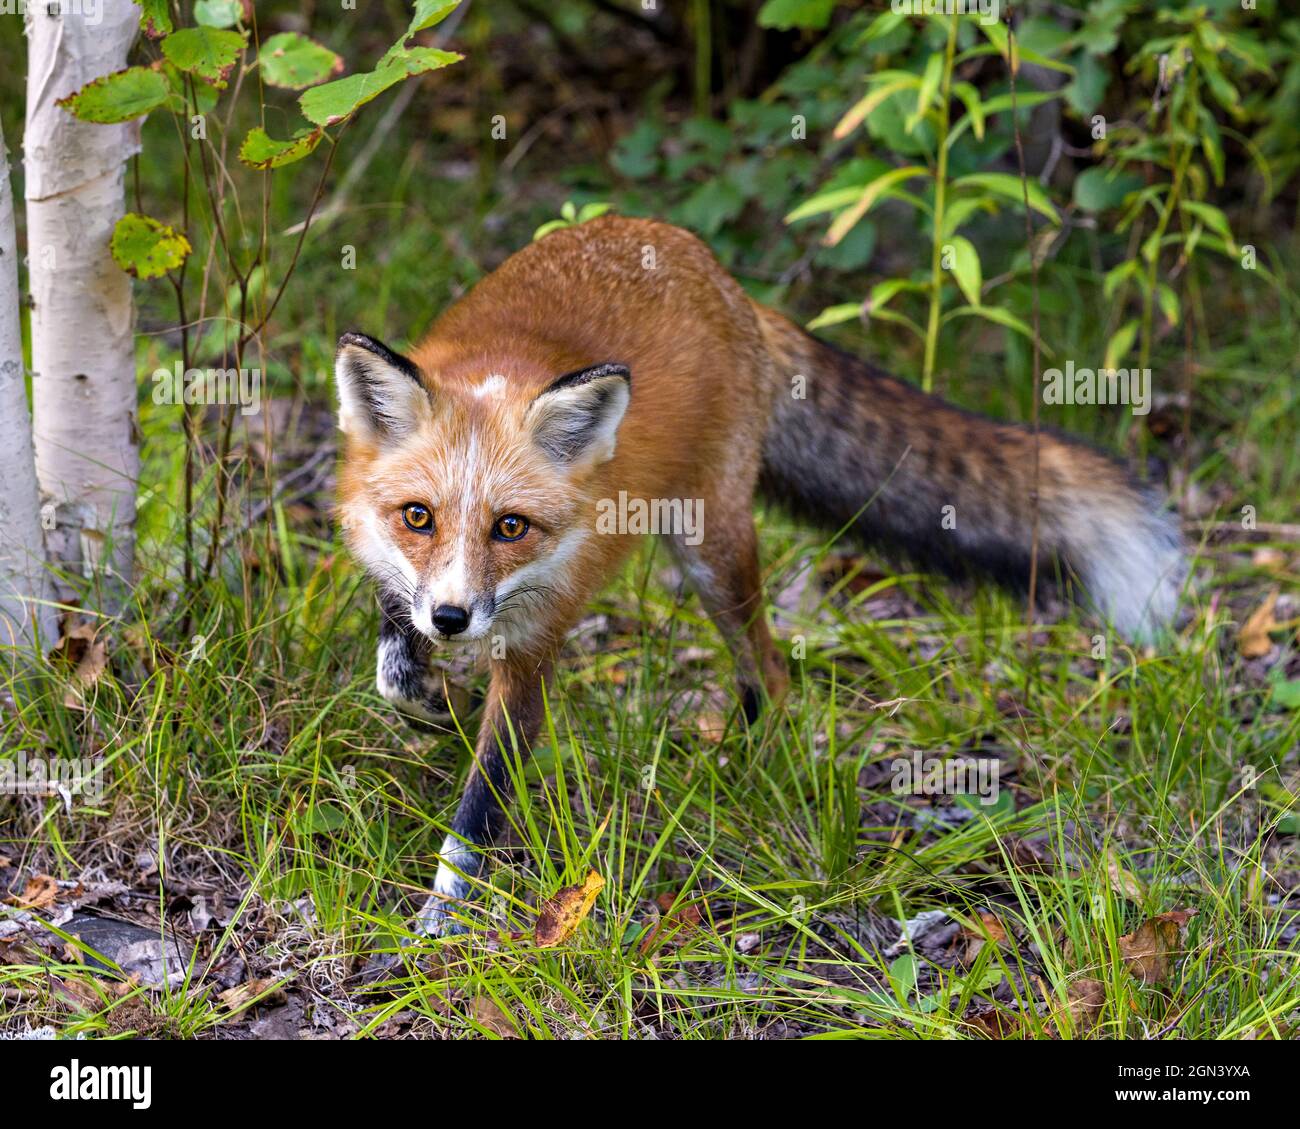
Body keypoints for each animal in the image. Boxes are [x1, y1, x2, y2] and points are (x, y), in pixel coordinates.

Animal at [335, 215, 1185, 937]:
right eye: (419, 518)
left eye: (509, 526)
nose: (452, 620)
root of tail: (710, 266)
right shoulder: (402, 579)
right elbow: (392, 670)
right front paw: (435, 701)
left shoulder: (535, 644)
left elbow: (480, 805)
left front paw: (445, 916)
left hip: (712, 548)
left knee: (771, 669)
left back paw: (753, 769)